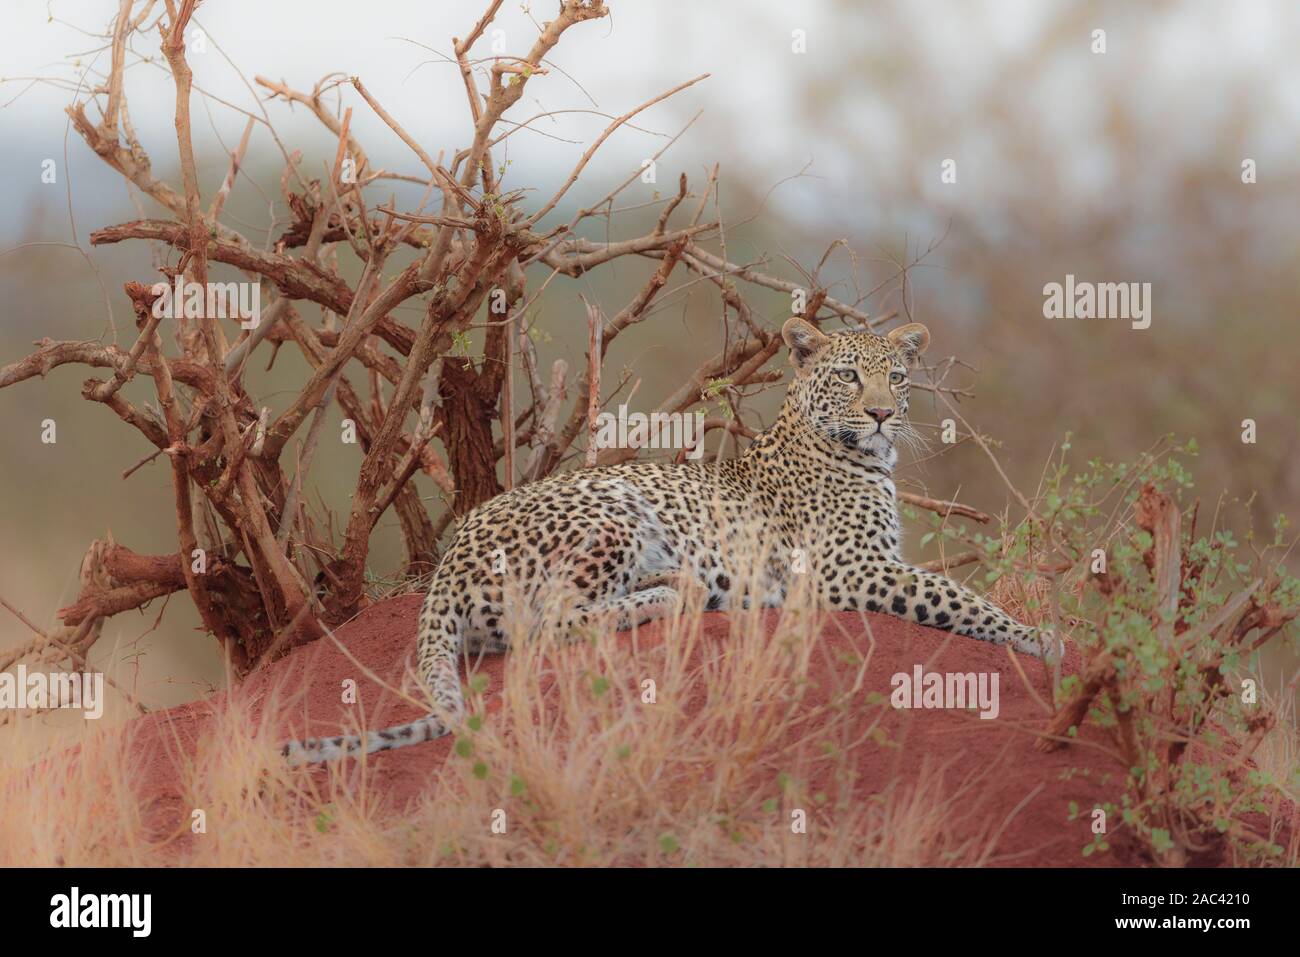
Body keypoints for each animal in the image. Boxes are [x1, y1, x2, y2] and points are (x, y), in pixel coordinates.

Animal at [282, 316, 1059, 764]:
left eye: (896, 376)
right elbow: (957, 595)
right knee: (549, 624)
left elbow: (952, 589)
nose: (880, 413)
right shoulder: (850, 569)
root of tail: (450, 559)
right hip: (615, 511)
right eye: (847, 375)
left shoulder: (872, 562)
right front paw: (1043, 638)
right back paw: (673, 593)